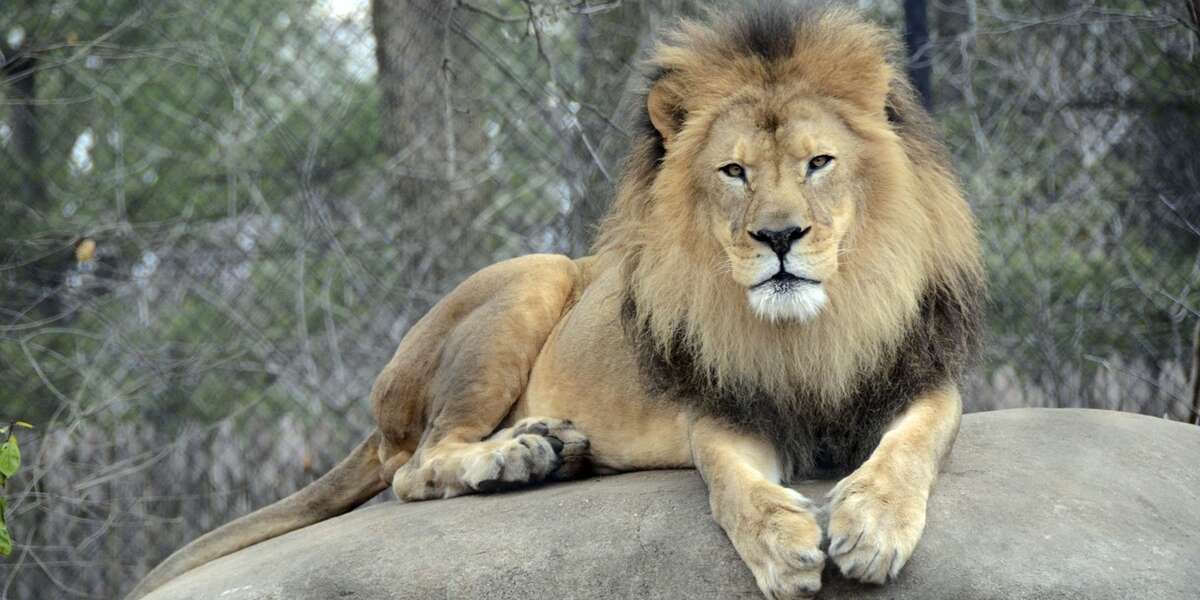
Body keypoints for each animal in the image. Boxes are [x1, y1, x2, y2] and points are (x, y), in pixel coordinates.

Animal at [128, 4, 984, 599]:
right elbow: (732, 486)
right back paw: (514, 456)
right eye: (734, 171)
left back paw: (552, 446)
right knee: (419, 465)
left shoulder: (923, 377)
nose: (778, 236)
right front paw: (781, 544)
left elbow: (911, 447)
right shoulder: (721, 410)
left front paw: (872, 525)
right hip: (532, 277)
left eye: (819, 162)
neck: (815, 328)